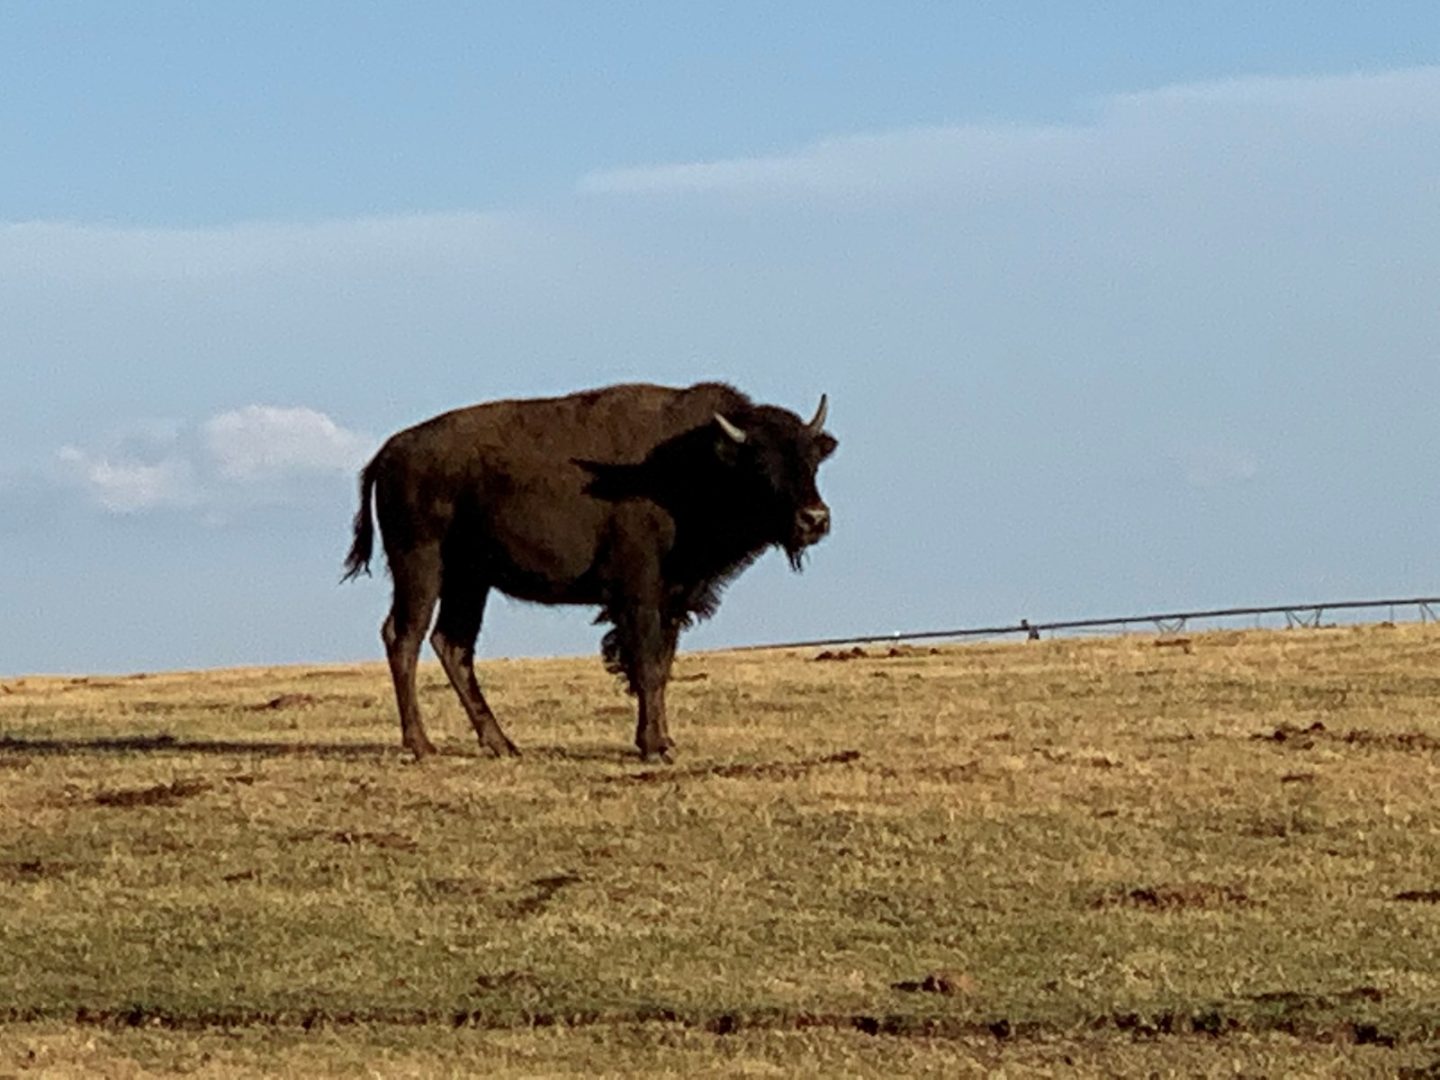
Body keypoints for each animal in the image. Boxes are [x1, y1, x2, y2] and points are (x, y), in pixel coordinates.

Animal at [342, 382, 837, 761]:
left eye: (812, 461)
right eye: (761, 465)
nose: (815, 519)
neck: (688, 463)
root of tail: (388, 452)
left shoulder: (672, 599)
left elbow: (661, 665)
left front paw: (663, 739)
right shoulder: (639, 593)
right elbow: (647, 664)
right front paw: (654, 747)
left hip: (470, 581)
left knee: (453, 644)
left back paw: (503, 744)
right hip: (421, 565)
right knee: (404, 637)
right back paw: (422, 745)